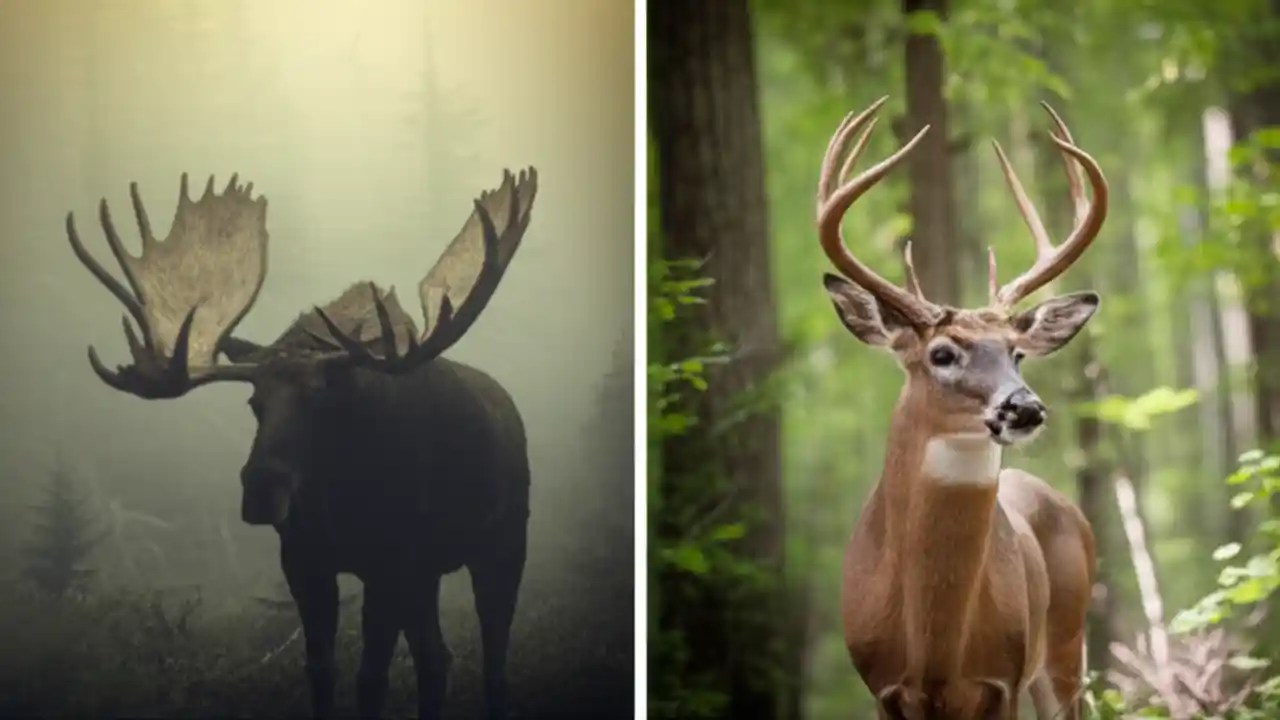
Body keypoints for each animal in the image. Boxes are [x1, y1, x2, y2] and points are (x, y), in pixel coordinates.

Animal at [65, 168, 537, 720]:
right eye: (254, 403)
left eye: (324, 400)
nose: (260, 489)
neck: (340, 501)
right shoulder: (305, 561)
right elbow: (320, 670)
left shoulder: (391, 563)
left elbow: (370, 677)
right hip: (428, 574)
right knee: (436, 659)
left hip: (502, 543)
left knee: (492, 655)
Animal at [818, 97, 1105, 719]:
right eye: (942, 353)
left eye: (1017, 352)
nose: (1024, 408)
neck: (935, 645)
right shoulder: (881, 688)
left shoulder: (1003, 681)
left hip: (1066, 646)